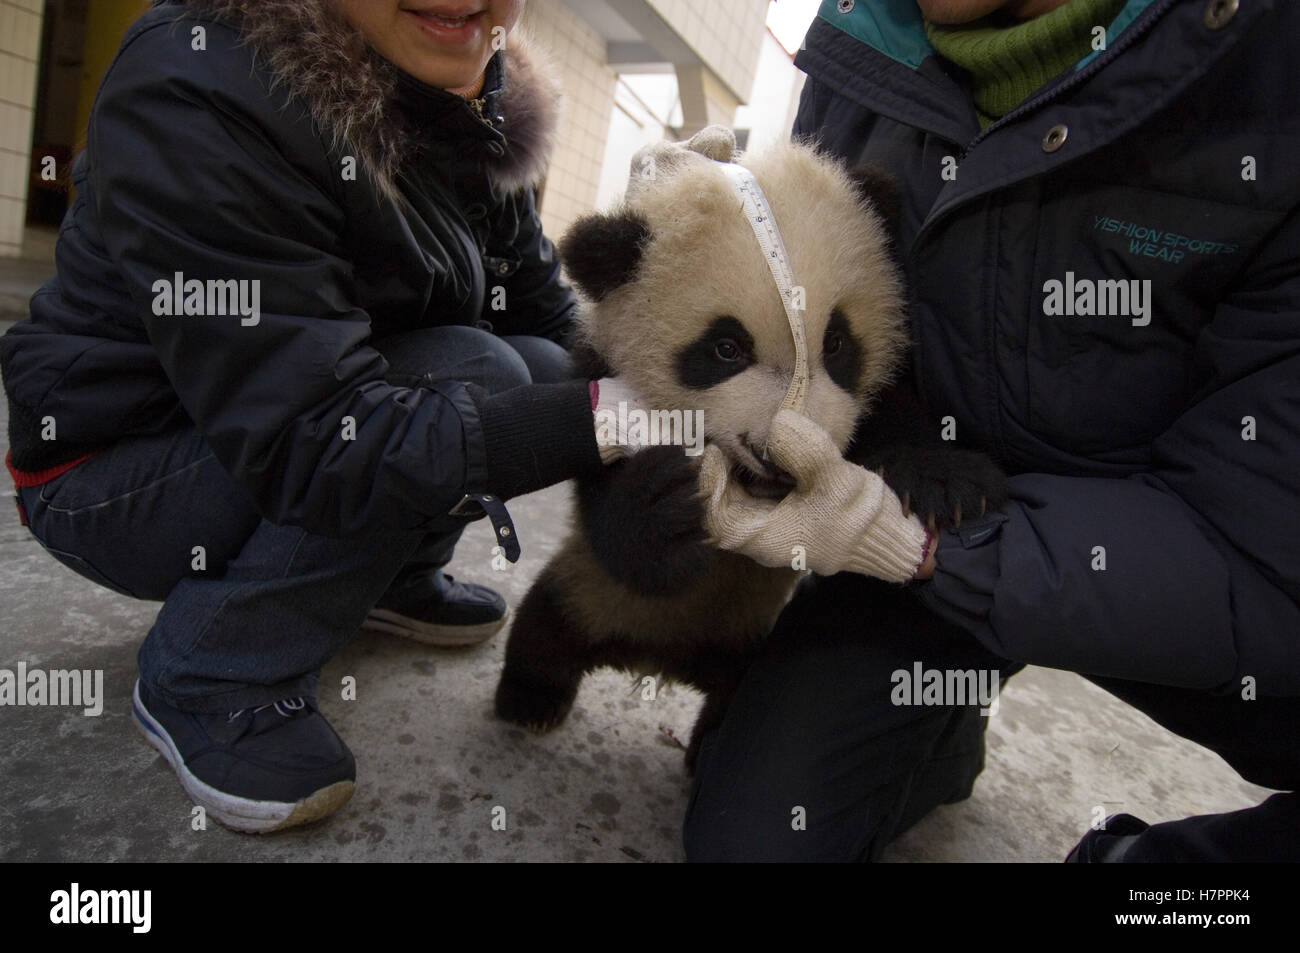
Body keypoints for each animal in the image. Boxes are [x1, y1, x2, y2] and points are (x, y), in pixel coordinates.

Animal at [494, 126, 1005, 769]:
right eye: (725, 349)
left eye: (837, 343)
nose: (776, 454)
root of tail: (656, 657)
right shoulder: (600, 373)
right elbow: (603, 493)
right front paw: (660, 508)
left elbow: (897, 415)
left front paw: (947, 484)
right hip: (587, 585)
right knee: (546, 622)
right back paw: (530, 699)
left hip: (749, 641)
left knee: (735, 694)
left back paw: (705, 747)